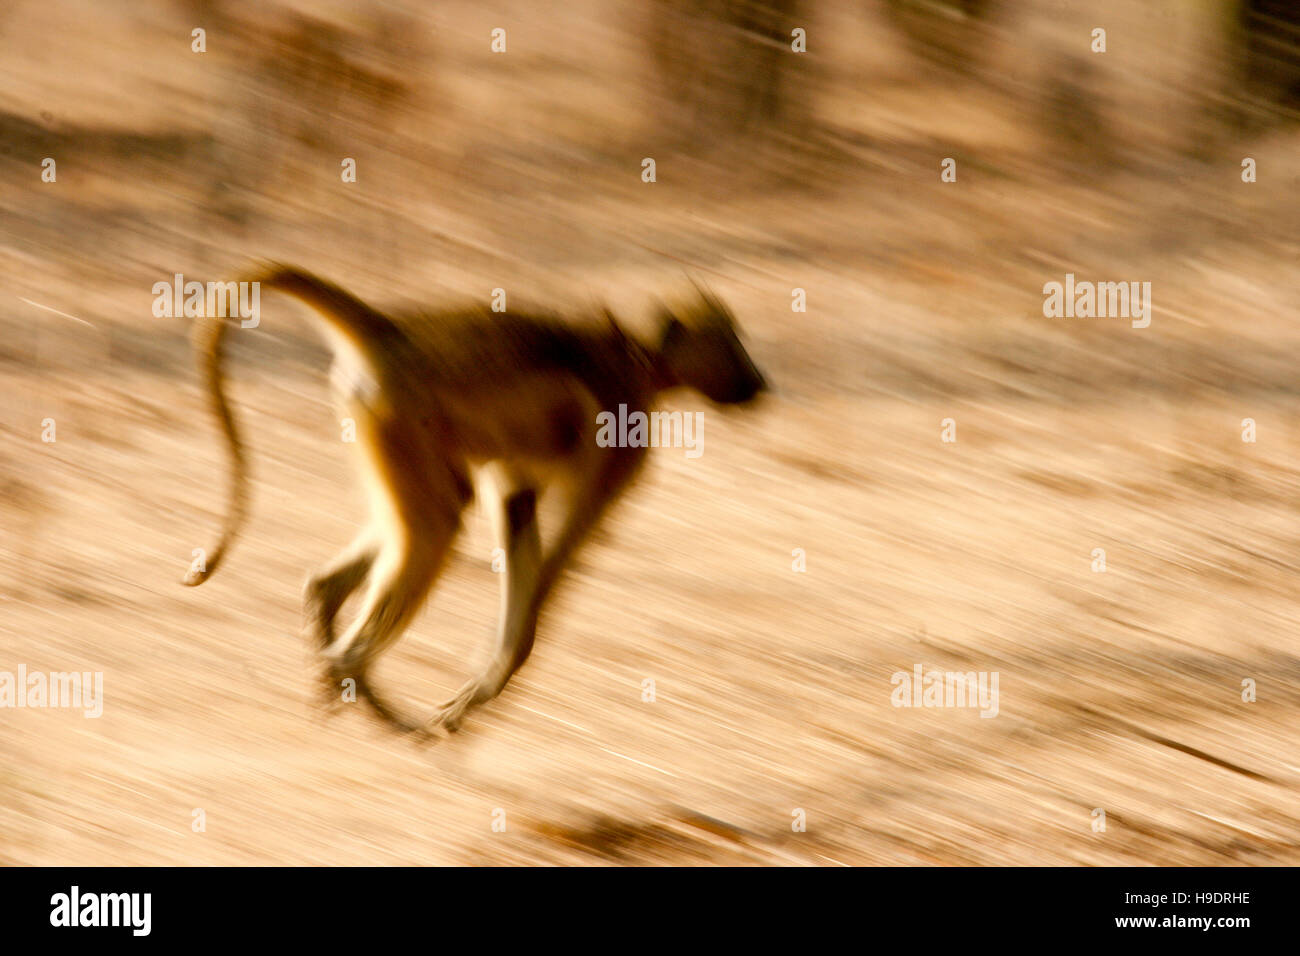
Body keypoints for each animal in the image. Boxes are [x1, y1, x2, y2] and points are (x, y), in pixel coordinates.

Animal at [184, 264, 767, 736]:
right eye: (731, 342)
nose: (760, 383)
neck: (636, 359)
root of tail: (392, 331)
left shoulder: (528, 480)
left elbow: (516, 508)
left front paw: (476, 690)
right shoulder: (622, 450)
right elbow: (558, 552)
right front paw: (482, 691)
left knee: (426, 520)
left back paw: (344, 660)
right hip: (398, 419)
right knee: (435, 528)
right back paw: (354, 678)